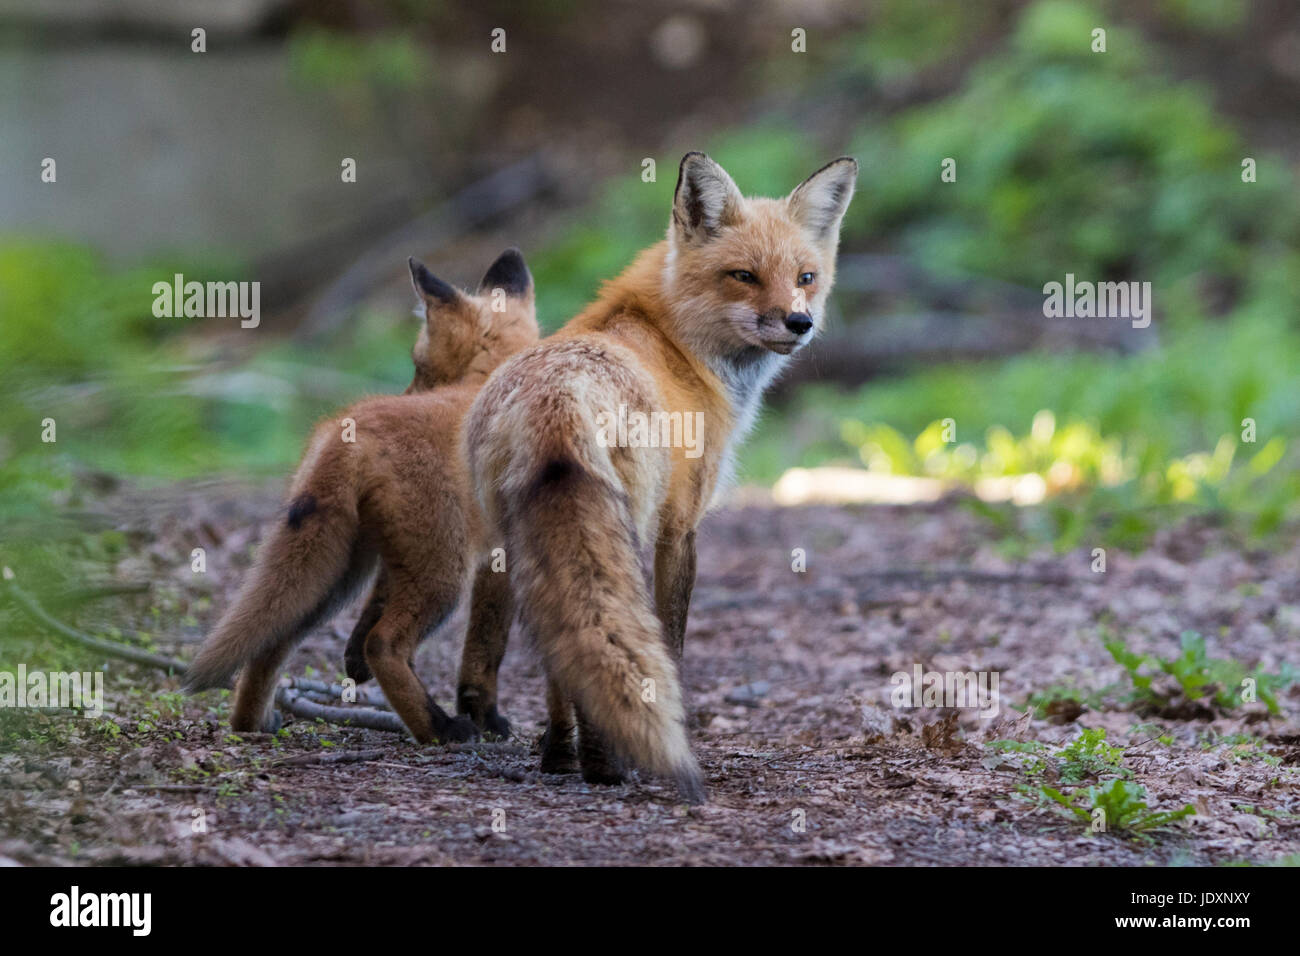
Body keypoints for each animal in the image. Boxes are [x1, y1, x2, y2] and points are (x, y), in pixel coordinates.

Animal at [183, 248, 539, 745]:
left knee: (277, 641)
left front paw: (350, 660)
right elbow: (486, 649)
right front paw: (487, 717)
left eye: (417, 364)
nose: (408, 390)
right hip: (441, 574)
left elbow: (372, 615)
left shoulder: (393, 560)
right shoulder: (497, 560)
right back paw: (440, 728)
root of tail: (349, 429)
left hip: (340, 570)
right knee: (384, 644)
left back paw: (252, 724)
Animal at [463, 152, 857, 802]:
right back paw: (606, 765)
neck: (677, 345)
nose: (799, 322)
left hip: (519, 542)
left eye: (805, 276)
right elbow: (670, 640)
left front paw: (557, 751)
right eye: (744, 276)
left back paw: (561, 755)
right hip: (622, 530)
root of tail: (556, 399)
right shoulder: (680, 526)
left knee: (561, 645)